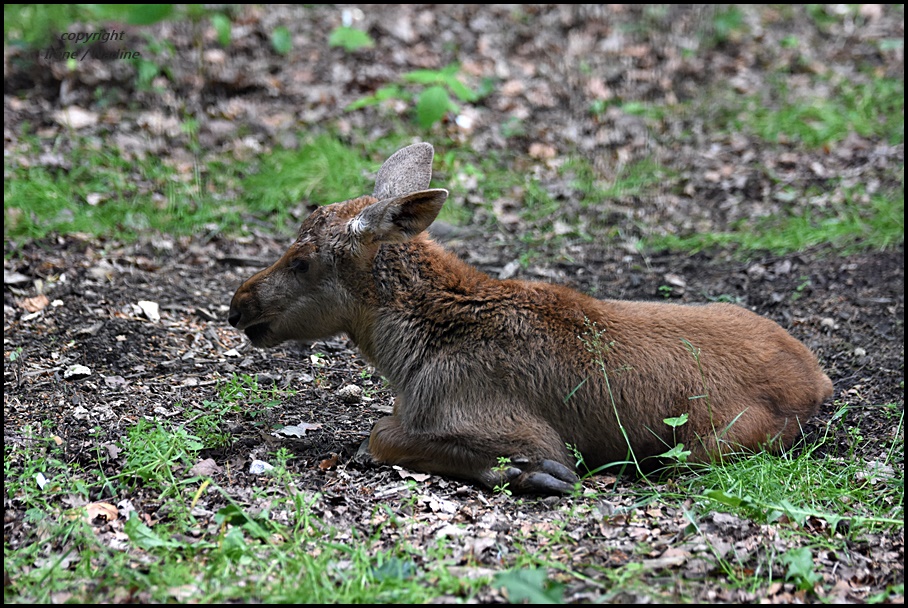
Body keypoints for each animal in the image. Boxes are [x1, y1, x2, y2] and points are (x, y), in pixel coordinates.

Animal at [228, 142, 834, 494]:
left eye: (302, 261)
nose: (238, 304)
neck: (404, 355)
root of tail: (820, 383)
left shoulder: (518, 428)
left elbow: (381, 434)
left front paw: (526, 473)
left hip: (706, 446)